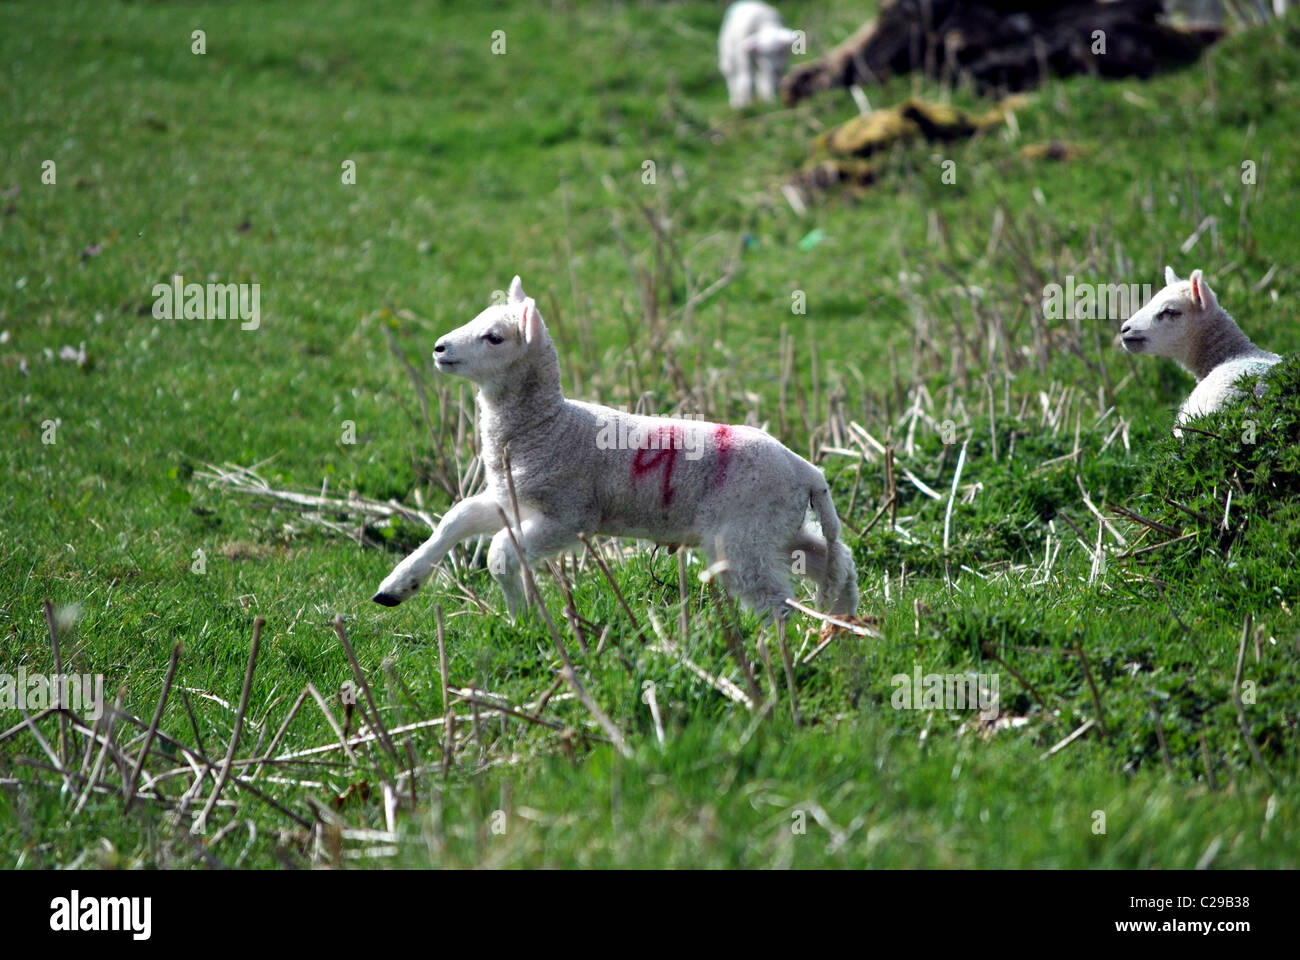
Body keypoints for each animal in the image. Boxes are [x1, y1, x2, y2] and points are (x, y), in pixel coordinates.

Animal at [372, 276, 859, 624]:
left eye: (494, 337)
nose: (439, 348)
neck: (548, 426)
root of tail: (807, 470)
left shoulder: (571, 514)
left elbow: (499, 553)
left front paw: (521, 616)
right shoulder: (517, 496)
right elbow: (456, 519)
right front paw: (398, 585)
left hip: (744, 531)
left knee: (774, 599)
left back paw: (781, 656)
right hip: (773, 525)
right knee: (833, 561)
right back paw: (841, 623)